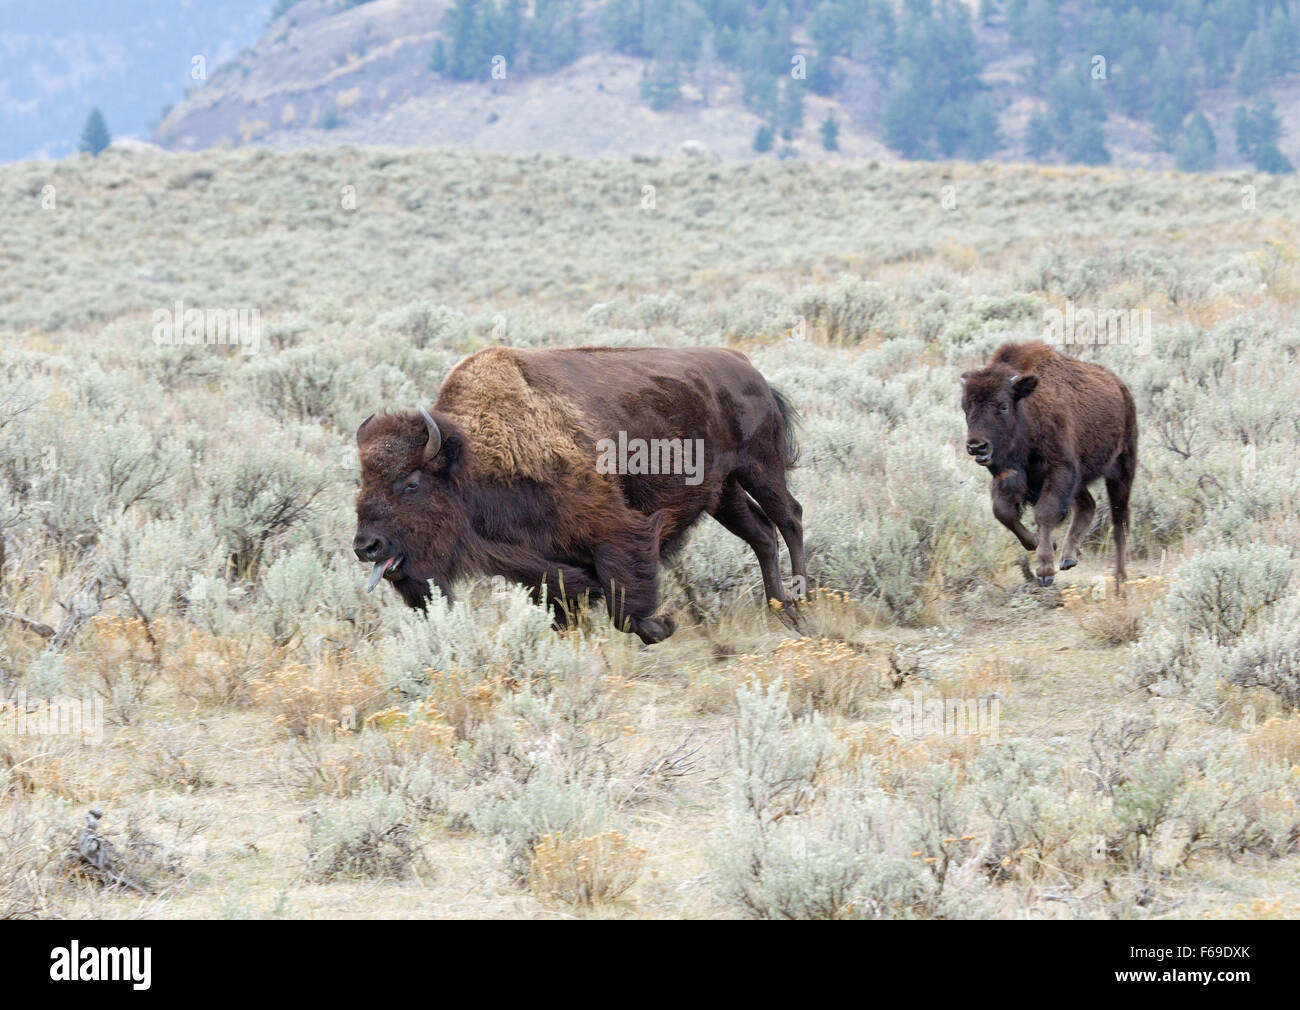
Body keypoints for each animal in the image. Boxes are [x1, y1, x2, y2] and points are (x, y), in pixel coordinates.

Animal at [353, 346, 806, 644]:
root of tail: (746, 366)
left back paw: (802, 602)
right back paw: (780, 609)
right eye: (362, 481)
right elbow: (569, 611)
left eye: (412, 482)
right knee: (762, 533)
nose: (366, 546)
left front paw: (666, 626)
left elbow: (624, 608)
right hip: (723, 491)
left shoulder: (616, 533)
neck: (473, 457)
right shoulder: (544, 570)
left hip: (760, 468)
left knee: (790, 518)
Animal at [960, 340, 1137, 588]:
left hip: (1121, 469)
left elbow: (1045, 513)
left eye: (1003, 405)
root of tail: (1120, 386)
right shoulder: (1007, 477)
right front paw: (1045, 545)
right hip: (1081, 479)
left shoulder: (1059, 470)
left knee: (1119, 520)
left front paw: (1045, 571)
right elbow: (1003, 513)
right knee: (1088, 505)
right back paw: (1068, 557)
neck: (1026, 410)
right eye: (966, 407)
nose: (977, 446)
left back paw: (1120, 578)